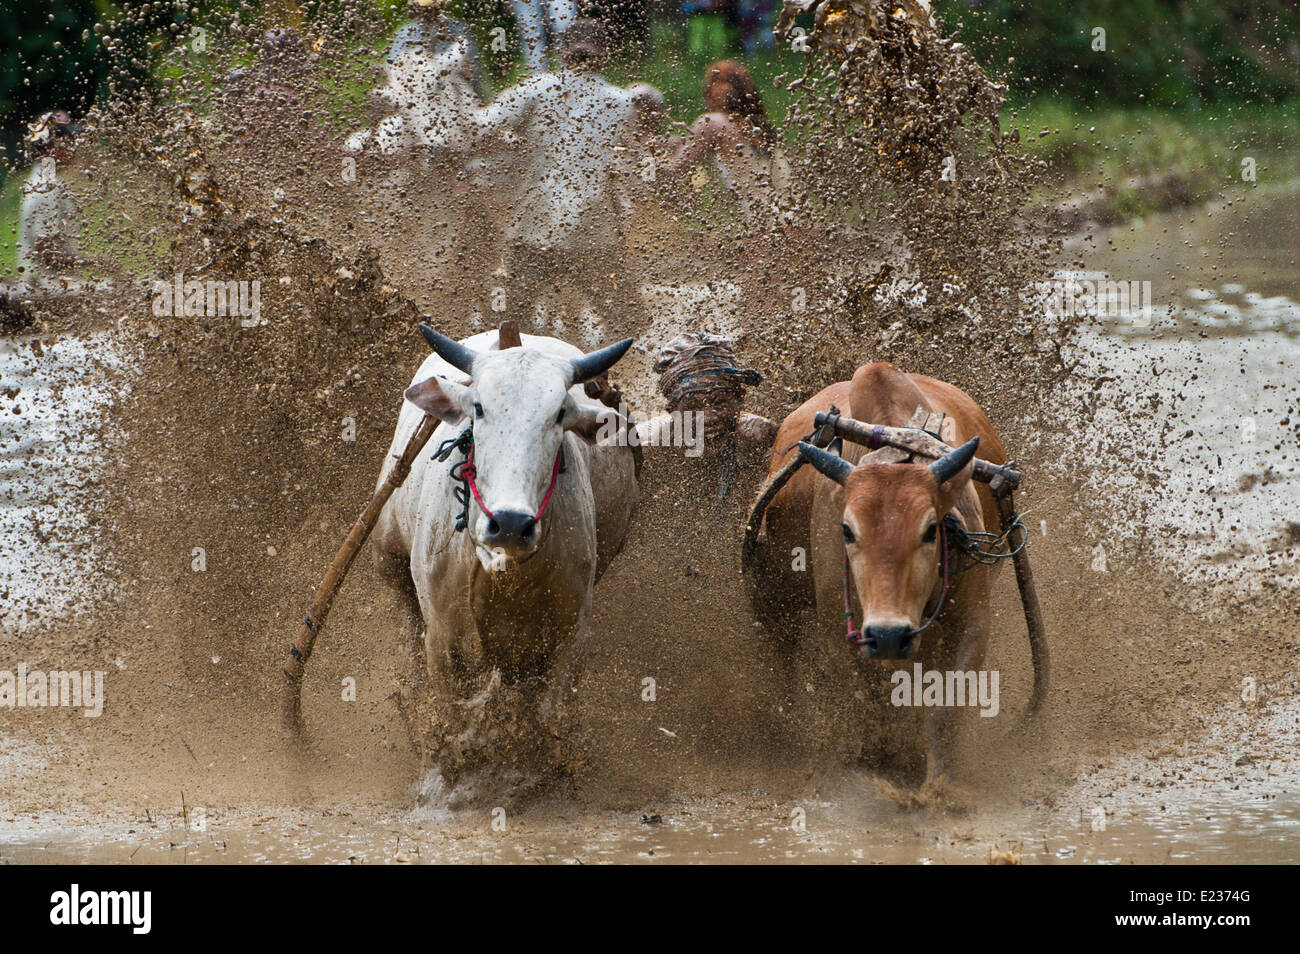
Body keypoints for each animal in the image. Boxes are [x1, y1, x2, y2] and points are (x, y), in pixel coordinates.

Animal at [371, 321, 638, 802]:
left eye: (560, 413)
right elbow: (449, 715)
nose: (511, 524)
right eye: (478, 407)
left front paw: (544, 778)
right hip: (389, 559)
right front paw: (445, 781)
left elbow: (551, 717)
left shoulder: (572, 632)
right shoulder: (442, 634)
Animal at [749, 361, 1008, 803]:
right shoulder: (840, 633)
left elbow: (946, 707)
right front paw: (876, 771)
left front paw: (940, 787)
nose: (890, 633)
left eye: (930, 530)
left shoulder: (973, 622)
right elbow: (868, 706)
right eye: (847, 530)